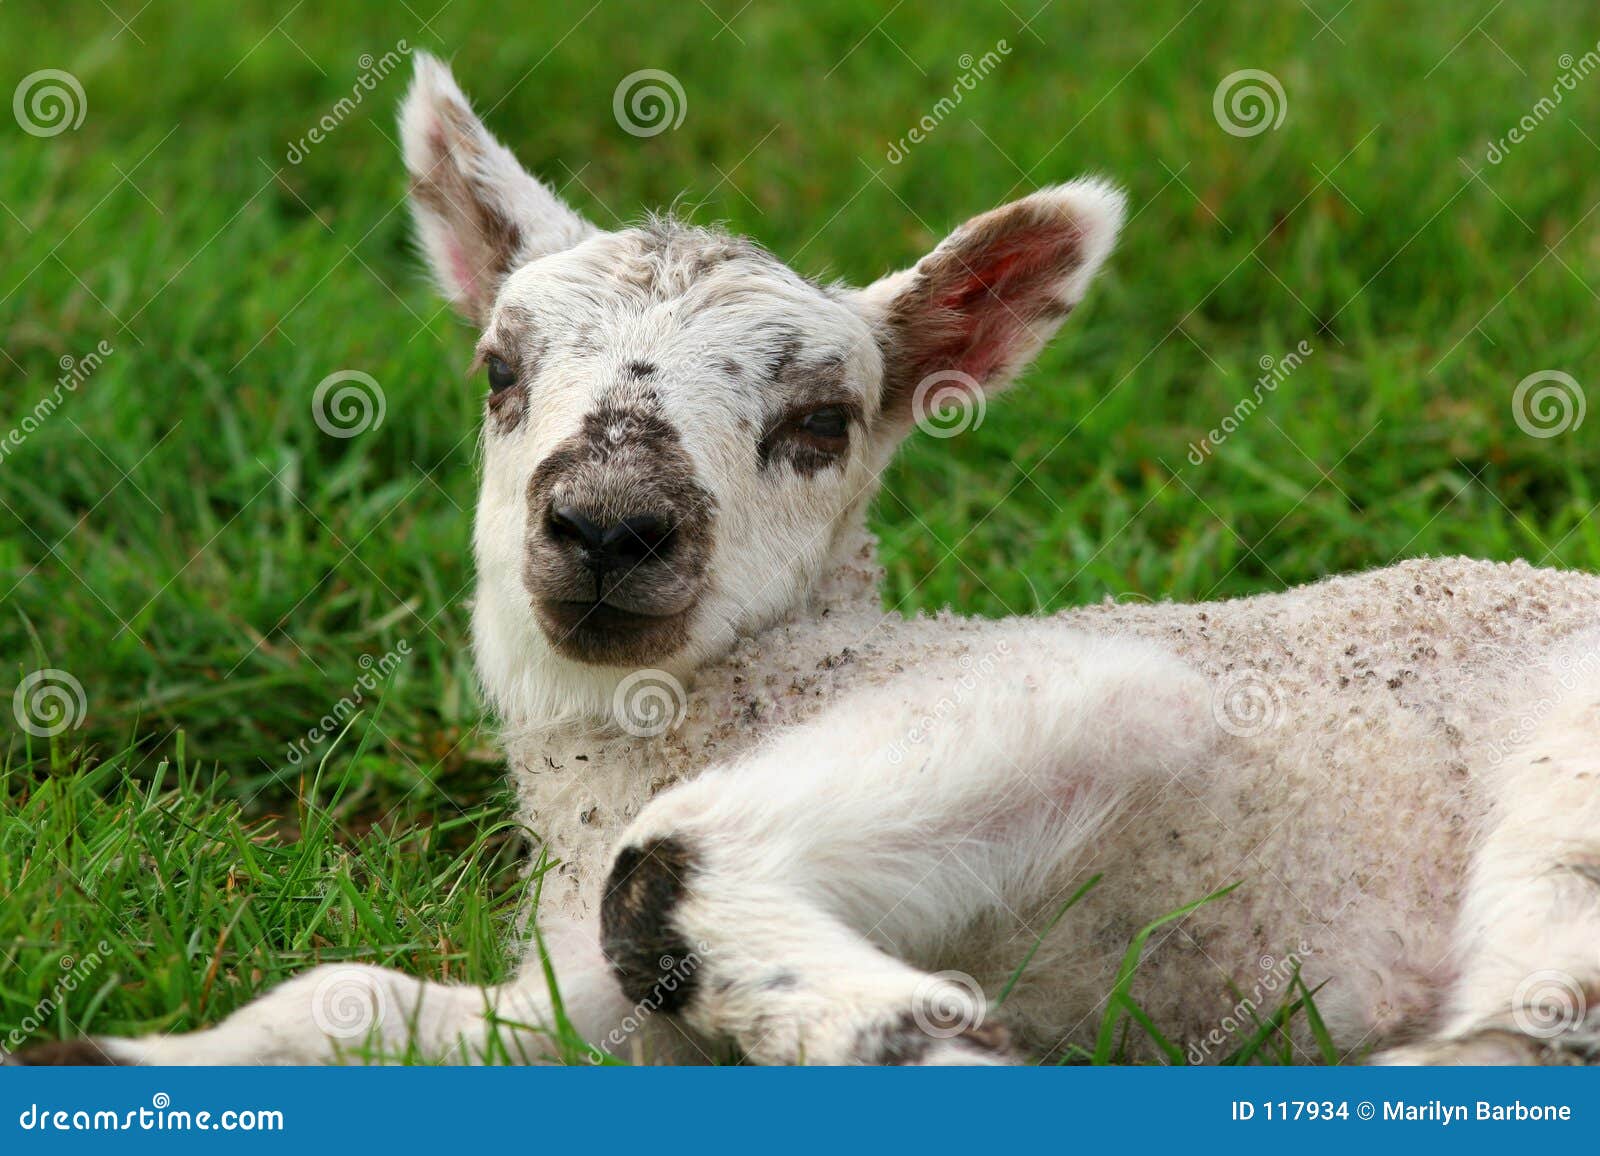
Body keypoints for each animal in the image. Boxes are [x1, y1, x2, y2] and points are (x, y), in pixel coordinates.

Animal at [17, 52, 1600, 1067]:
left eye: (821, 423)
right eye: (497, 373)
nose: (610, 525)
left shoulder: (1094, 687)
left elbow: (663, 876)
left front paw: (917, 1039)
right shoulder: (597, 1010)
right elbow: (365, 1001)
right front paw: (124, 1054)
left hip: (1566, 788)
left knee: (1538, 1018)